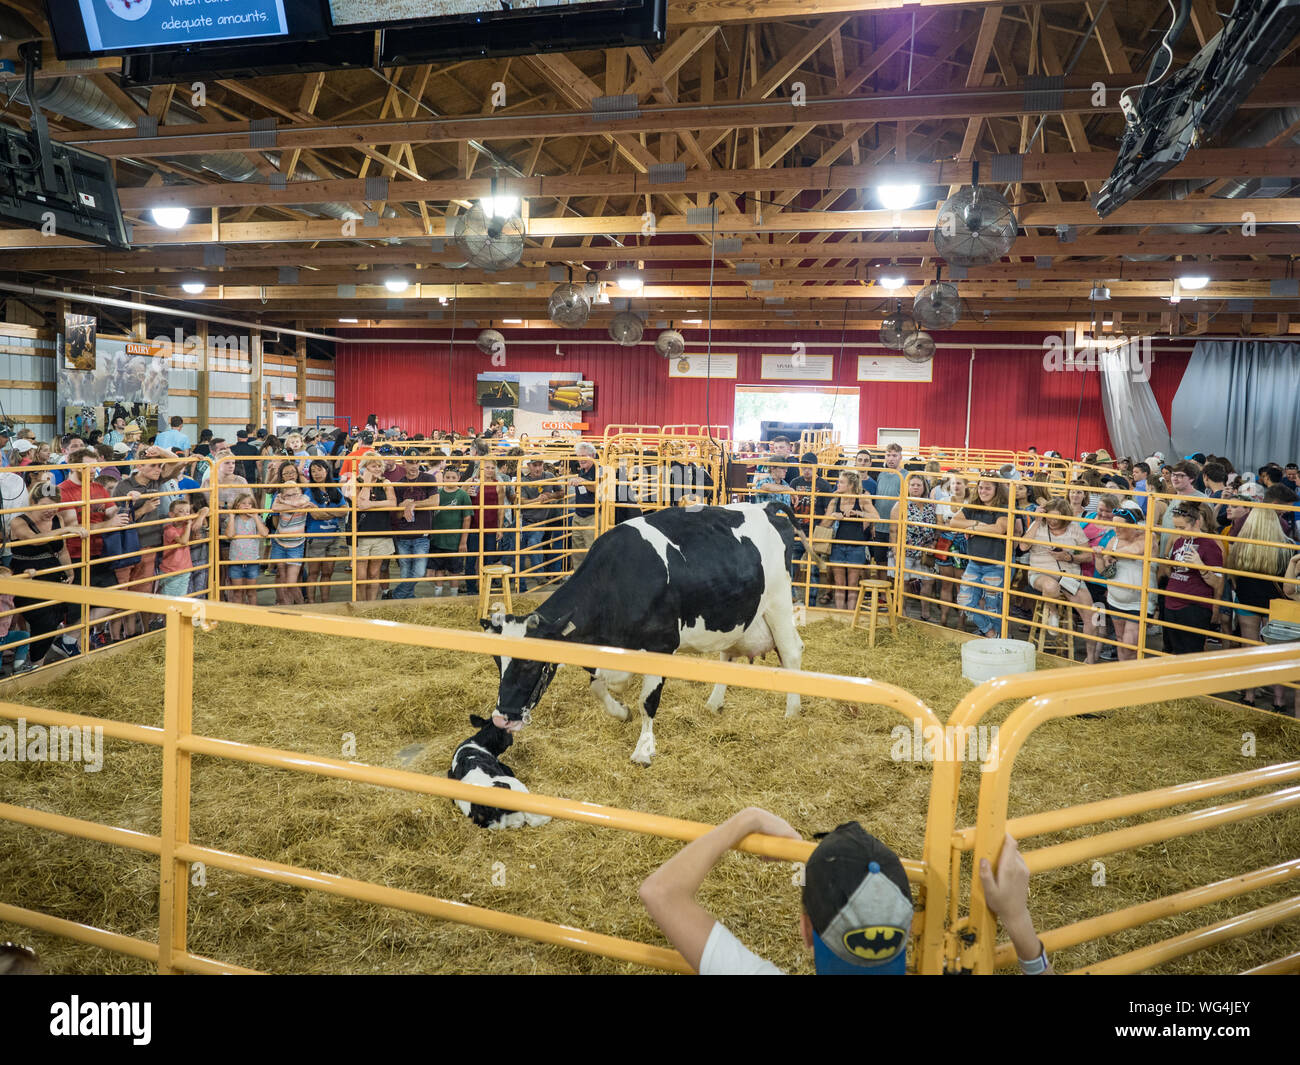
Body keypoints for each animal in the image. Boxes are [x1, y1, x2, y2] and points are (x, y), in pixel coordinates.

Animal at [481, 501, 807, 765]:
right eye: (497, 661)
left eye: (529, 663)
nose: (500, 718)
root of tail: (766, 507)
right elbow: (598, 687)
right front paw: (621, 712)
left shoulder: (662, 645)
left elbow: (647, 702)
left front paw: (643, 750)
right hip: (738, 615)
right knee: (728, 655)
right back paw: (714, 704)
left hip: (777, 602)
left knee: (792, 652)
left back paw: (792, 712)